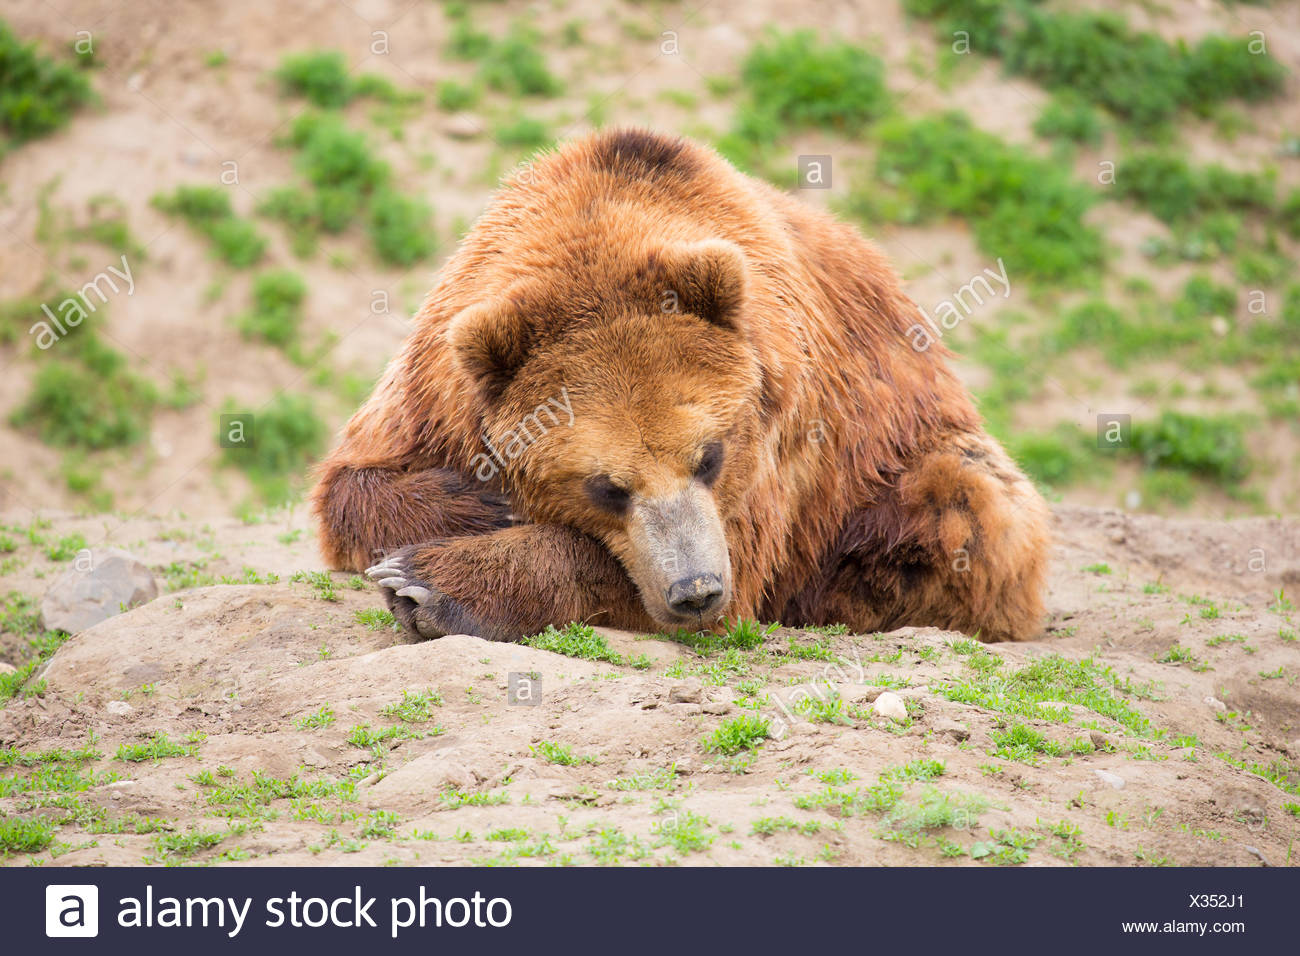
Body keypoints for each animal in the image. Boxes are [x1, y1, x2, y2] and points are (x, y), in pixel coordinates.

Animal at [310, 127, 1051, 644]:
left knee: (969, 507)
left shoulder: (781, 438)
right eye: (606, 485)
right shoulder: (435, 380)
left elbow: (717, 563)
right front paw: (479, 509)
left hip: (898, 459)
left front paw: (430, 585)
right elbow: (356, 484)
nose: (695, 589)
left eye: (710, 456)